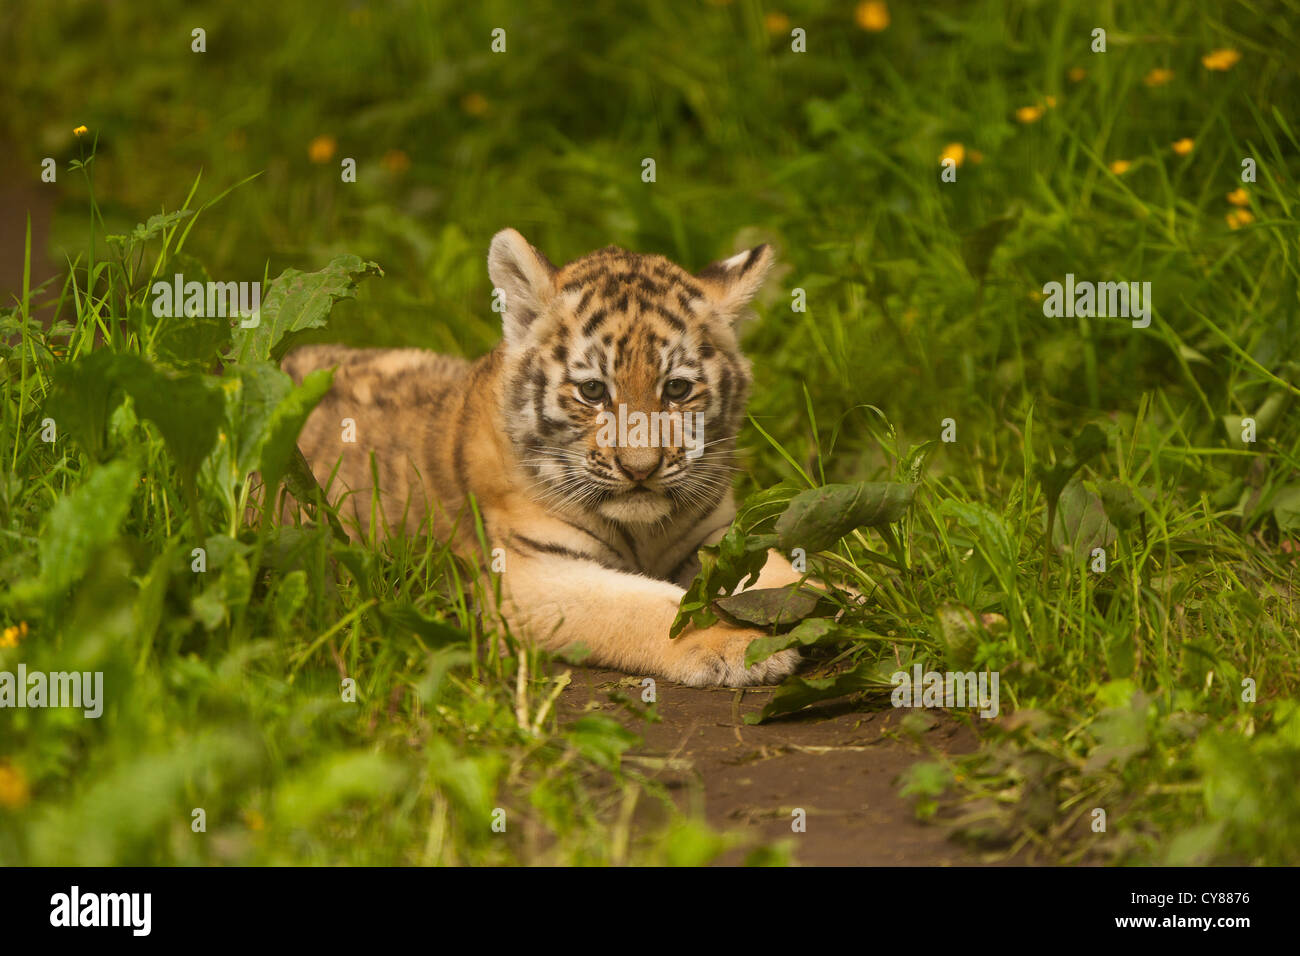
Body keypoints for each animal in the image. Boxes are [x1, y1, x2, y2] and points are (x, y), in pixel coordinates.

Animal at [280, 229, 810, 686]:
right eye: (593, 391)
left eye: (677, 389)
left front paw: (819, 593)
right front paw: (743, 644)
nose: (640, 469)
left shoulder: (716, 535)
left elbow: (774, 568)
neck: (644, 532)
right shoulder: (530, 576)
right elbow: (657, 607)